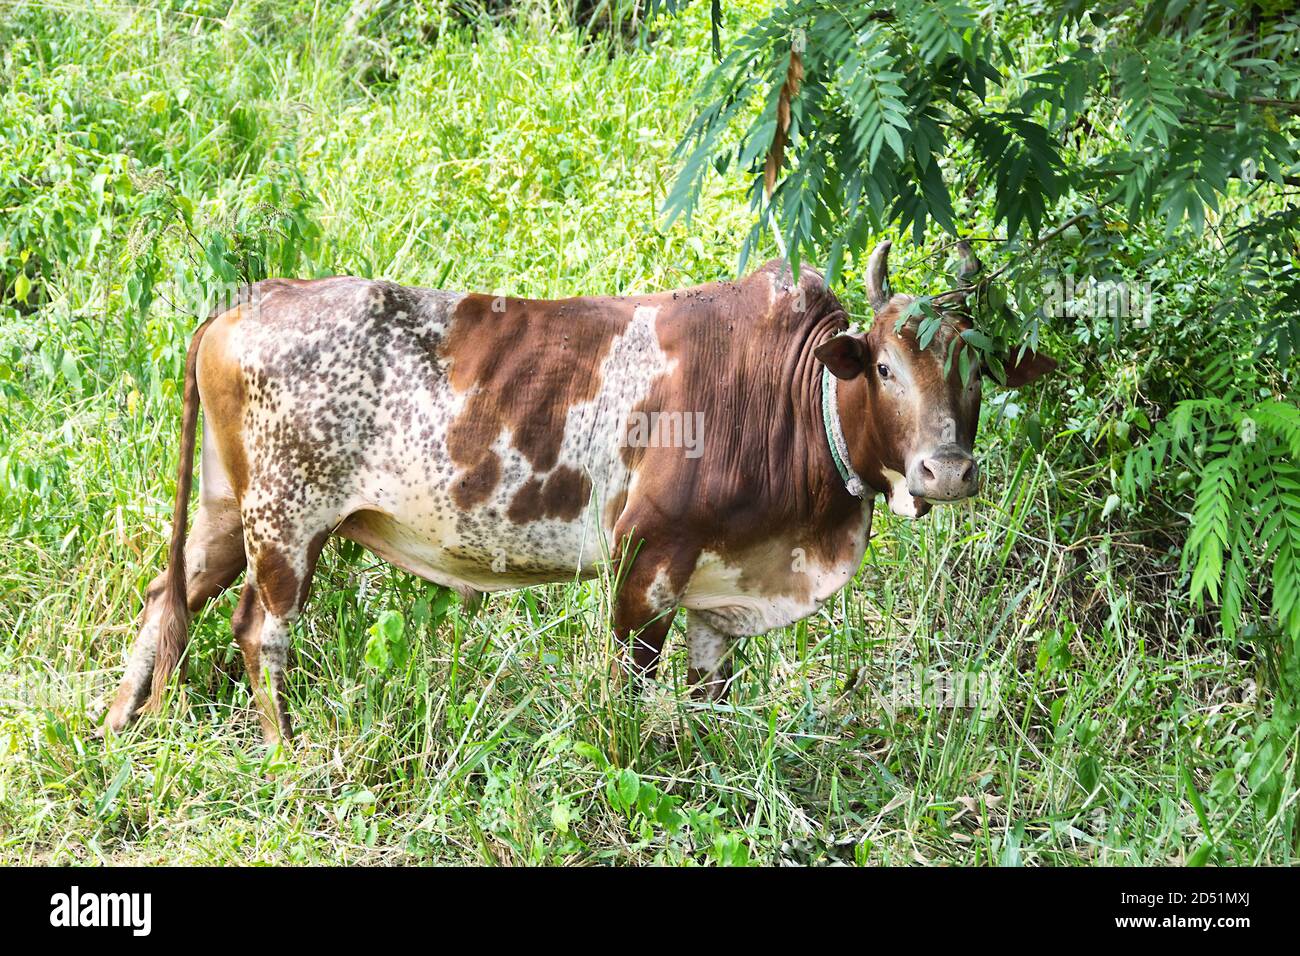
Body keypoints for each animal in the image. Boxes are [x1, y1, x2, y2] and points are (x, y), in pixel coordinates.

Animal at [103, 240, 1054, 742]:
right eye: (886, 367)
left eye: (976, 371)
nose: (947, 469)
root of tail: (248, 300)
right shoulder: (648, 559)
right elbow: (629, 682)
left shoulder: (723, 589)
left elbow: (709, 693)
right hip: (288, 523)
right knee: (258, 631)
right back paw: (287, 751)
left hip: (226, 510)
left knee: (169, 596)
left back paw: (124, 722)